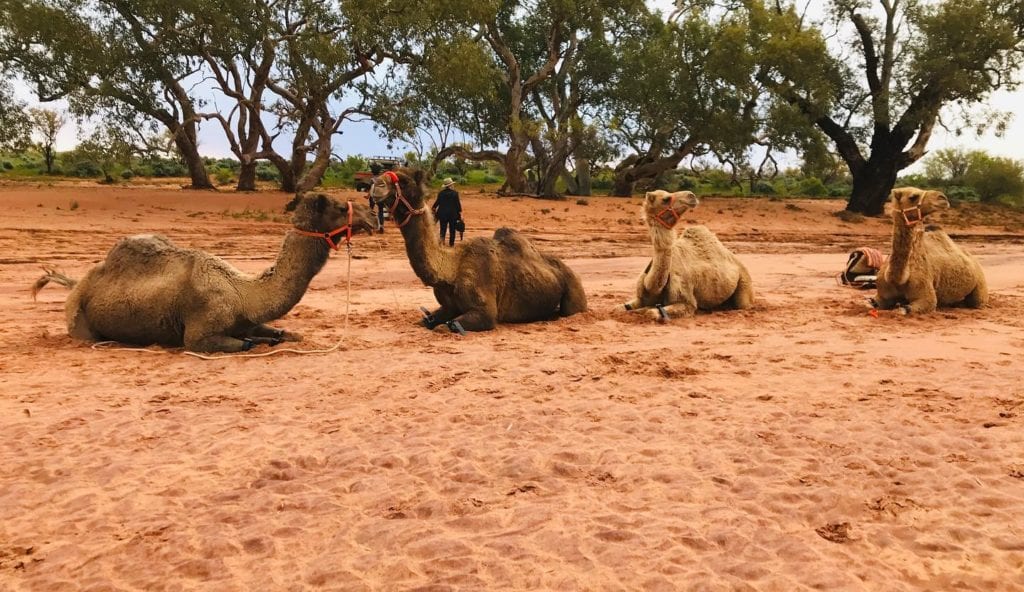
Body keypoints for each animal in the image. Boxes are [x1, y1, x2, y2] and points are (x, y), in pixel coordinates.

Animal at [32, 193, 375, 352]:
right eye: (340, 208)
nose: (373, 215)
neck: (242, 293)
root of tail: (76, 284)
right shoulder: (199, 335)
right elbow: (248, 343)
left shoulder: (249, 320)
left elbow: (285, 334)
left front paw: (278, 335)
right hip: (78, 320)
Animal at [368, 168, 587, 332]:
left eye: (404, 182)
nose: (376, 184)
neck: (451, 270)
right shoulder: (448, 306)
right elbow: (426, 320)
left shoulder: (485, 312)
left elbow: (447, 327)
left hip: (574, 292)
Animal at [624, 190, 754, 320]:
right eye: (666, 199)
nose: (691, 195)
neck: (652, 286)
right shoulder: (640, 298)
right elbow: (625, 307)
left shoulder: (686, 301)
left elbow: (651, 312)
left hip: (744, 280)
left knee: (743, 304)